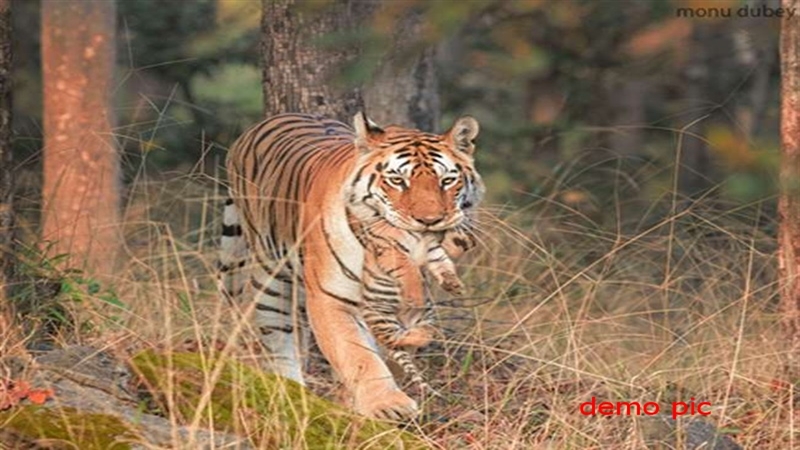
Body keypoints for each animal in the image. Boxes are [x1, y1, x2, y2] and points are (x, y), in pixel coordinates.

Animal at [219, 111, 483, 420]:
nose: (429, 220)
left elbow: (393, 351)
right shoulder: (330, 299)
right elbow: (358, 355)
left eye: (448, 180)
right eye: (397, 180)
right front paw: (387, 404)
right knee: (278, 339)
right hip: (270, 280)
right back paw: (292, 393)